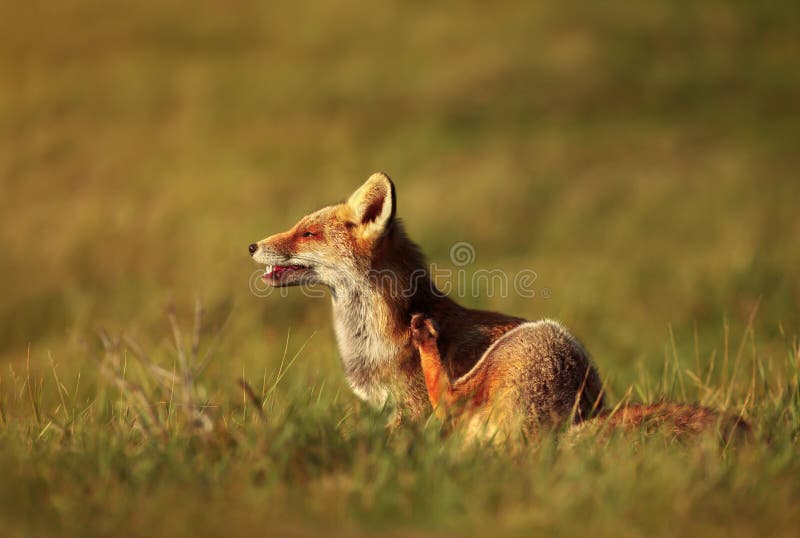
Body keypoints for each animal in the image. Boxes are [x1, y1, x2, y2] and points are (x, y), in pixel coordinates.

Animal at [249, 172, 748, 441]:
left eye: (307, 233)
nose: (252, 245)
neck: (374, 339)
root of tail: (581, 421)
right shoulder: (389, 410)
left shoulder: (413, 411)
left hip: (538, 339)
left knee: (451, 400)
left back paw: (427, 339)